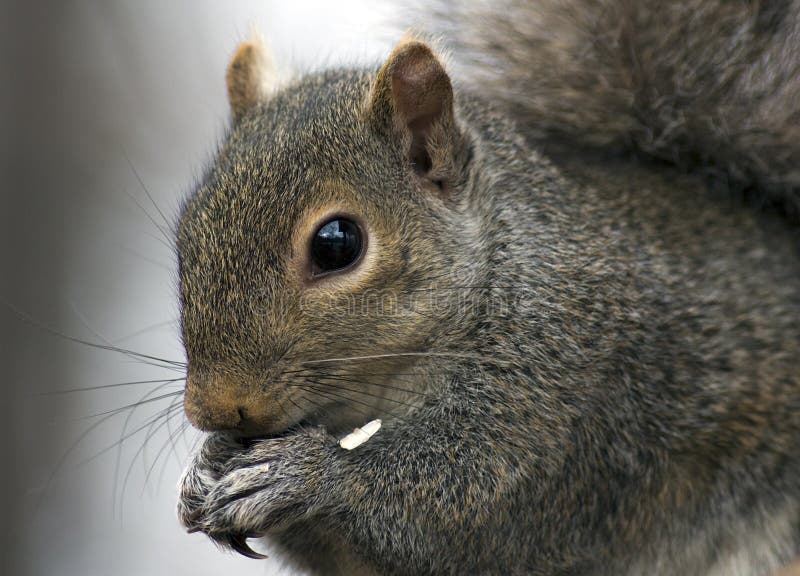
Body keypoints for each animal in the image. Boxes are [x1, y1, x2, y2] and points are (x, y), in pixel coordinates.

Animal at [176, 1, 800, 575]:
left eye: (337, 243)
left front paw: (308, 475)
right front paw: (205, 468)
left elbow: (468, 512)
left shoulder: (568, 396)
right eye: (187, 226)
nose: (215, 410)